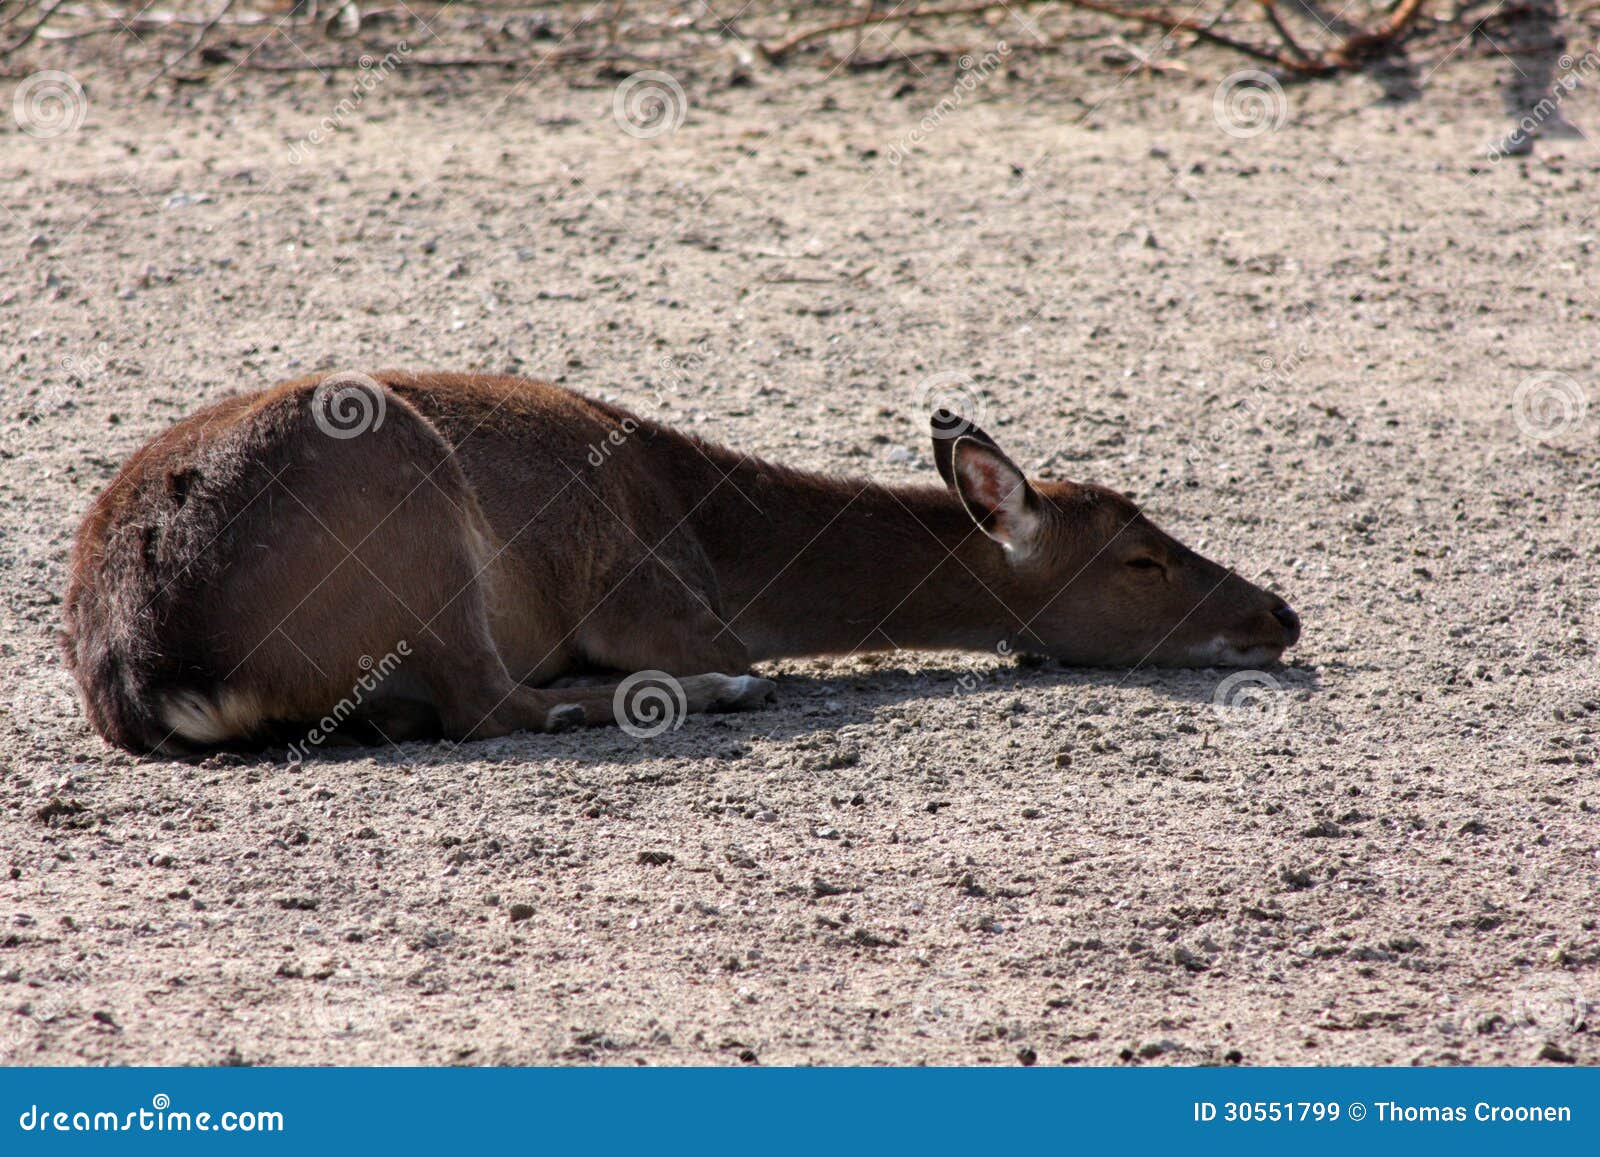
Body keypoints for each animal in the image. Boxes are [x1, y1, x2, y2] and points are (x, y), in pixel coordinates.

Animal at [62, 371, 1301, 755]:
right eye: (1142, 557)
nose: (1278, 613)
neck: (712, 536)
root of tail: (141, 663)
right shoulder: (655, 597)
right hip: (416, 519)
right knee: (489, 704)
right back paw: (706, 690)